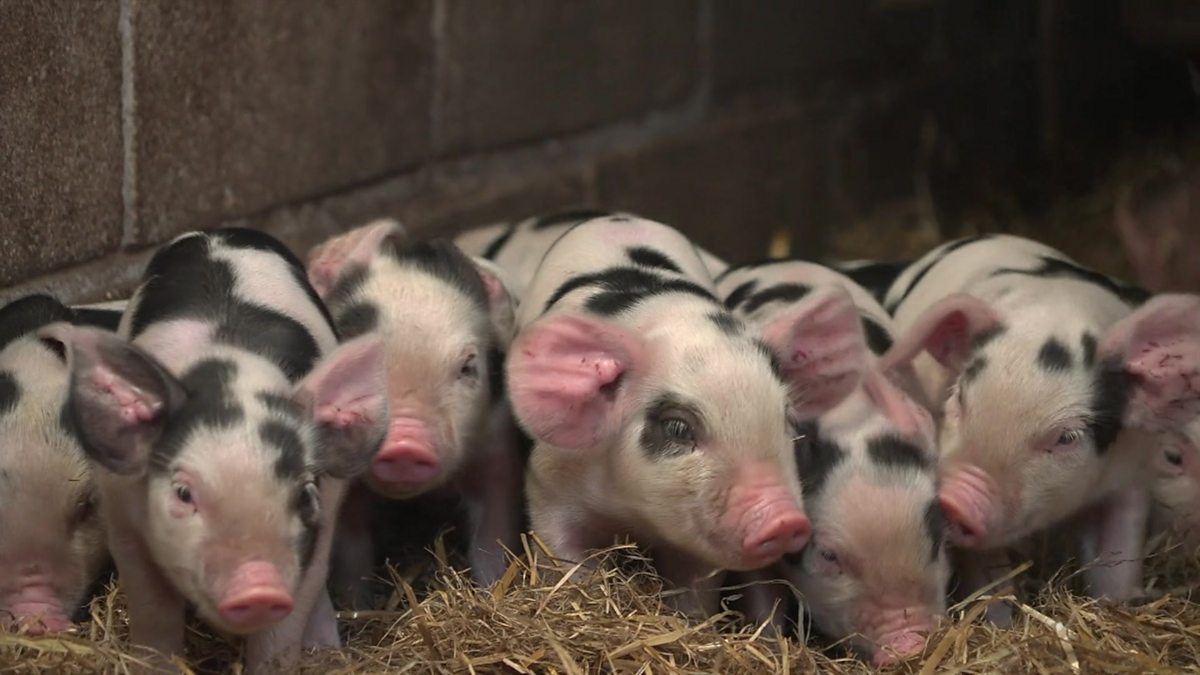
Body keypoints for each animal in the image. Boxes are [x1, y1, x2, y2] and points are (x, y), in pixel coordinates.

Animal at [47, 229, 389, 671]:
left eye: (304, 495)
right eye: (183, 493)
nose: (259, 586)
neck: (231, 372)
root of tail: (218, 233)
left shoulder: (323, 521)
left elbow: (282, 633)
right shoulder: (121, 516)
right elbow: (154, 615)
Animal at [305, 220, 523, 595]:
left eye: (467, 367)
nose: (404, 444)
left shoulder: (497, 452)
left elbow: (492, 539)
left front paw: (492, 591)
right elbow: (351, 548)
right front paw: (356, 602)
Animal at [503, 213, 869, 615]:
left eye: (787, 417)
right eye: (677, 427)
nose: (785, 521)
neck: (630, 510)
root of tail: (617, 217)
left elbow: (693, 594)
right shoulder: (548, 486)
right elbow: (566, 559)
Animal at [717, 260, 947, 666]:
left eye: (936, 533)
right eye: (828, 555)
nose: (908, 645)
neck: (849, 420)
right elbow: (763, 595)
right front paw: (770, 645)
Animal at [880, 233, 1200, 617]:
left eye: (1066, 437)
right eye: (959, 397)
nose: (954, 499)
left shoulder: (1132, 473)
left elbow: (1117, 554)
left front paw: (1119, 603)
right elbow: (990, 577)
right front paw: (1000, 621)